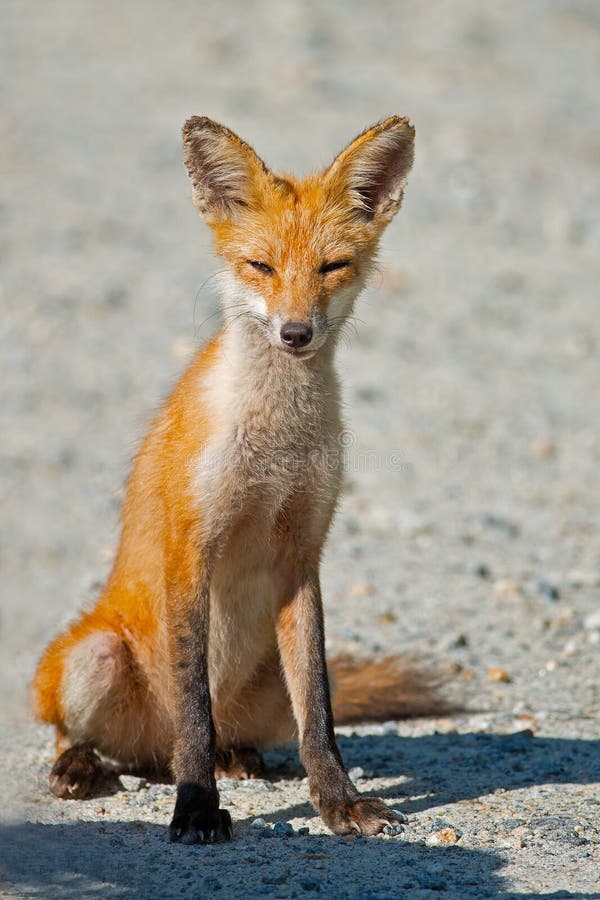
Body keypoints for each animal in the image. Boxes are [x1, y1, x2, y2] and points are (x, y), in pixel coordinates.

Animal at [33, 115, 427, 843]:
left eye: (332, 267)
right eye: (260, 266)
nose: (295, 332)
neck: (274, 450)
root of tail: (147, 755)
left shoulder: (302, 553)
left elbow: (319, 716)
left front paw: (339, 801)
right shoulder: (191, 547)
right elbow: (194, 706)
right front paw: (195, 809)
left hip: (265, 688)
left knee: (247, 729)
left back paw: (236, 757)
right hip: (92, 657)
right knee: (93, 736)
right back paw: (87, 766)